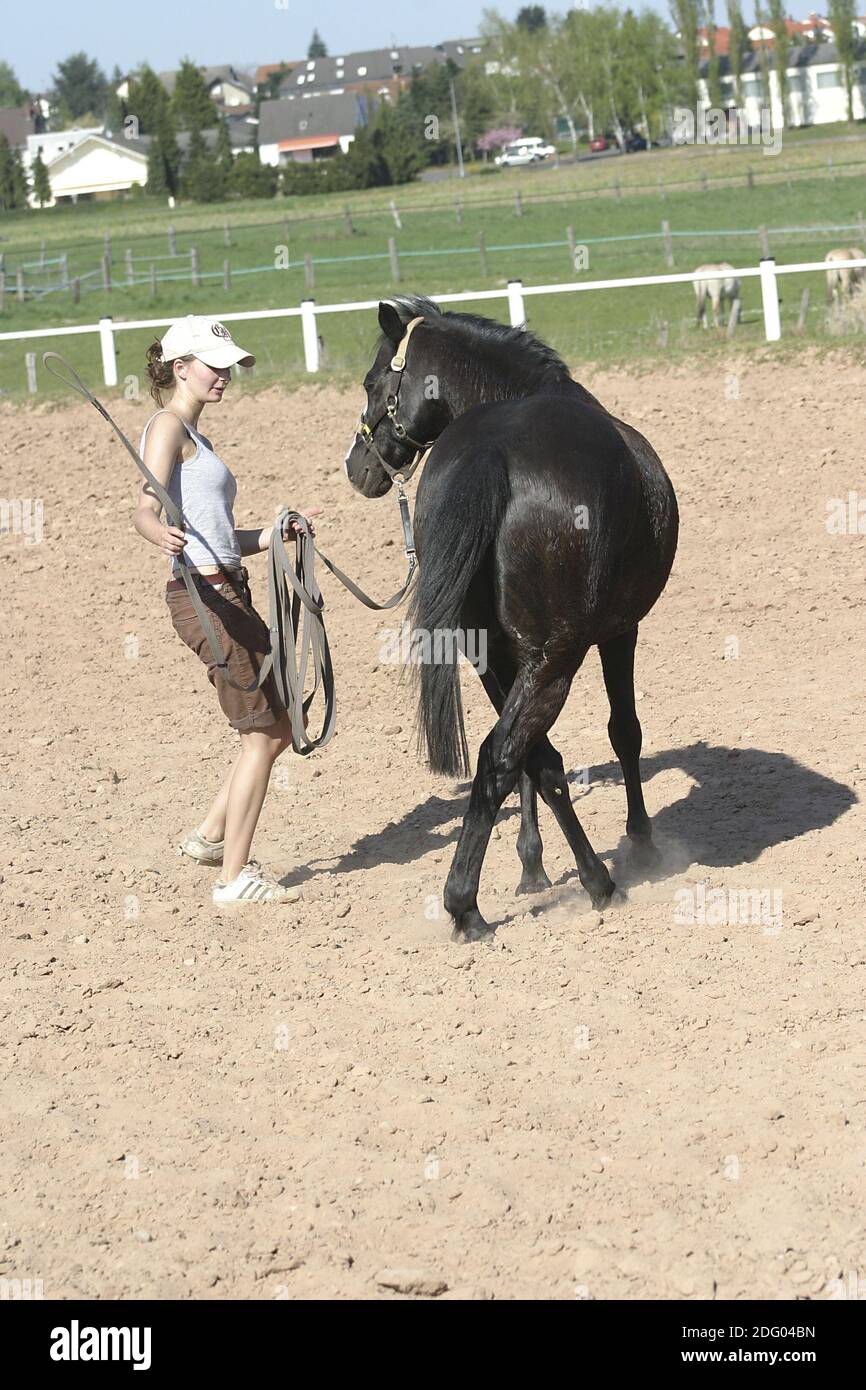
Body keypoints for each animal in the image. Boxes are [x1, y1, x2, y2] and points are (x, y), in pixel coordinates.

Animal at [344, 295, 679, 941]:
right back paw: (493, 902)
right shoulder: (619, 633)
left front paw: (532, 866)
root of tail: (492, 453)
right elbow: (624, 732)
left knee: (523, 759)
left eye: (373, 382)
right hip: (556, 660)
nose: (356, 466)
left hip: (503, 658)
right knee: (502, 755)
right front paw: (643, 842)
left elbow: (541, 762)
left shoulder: (503, 655)